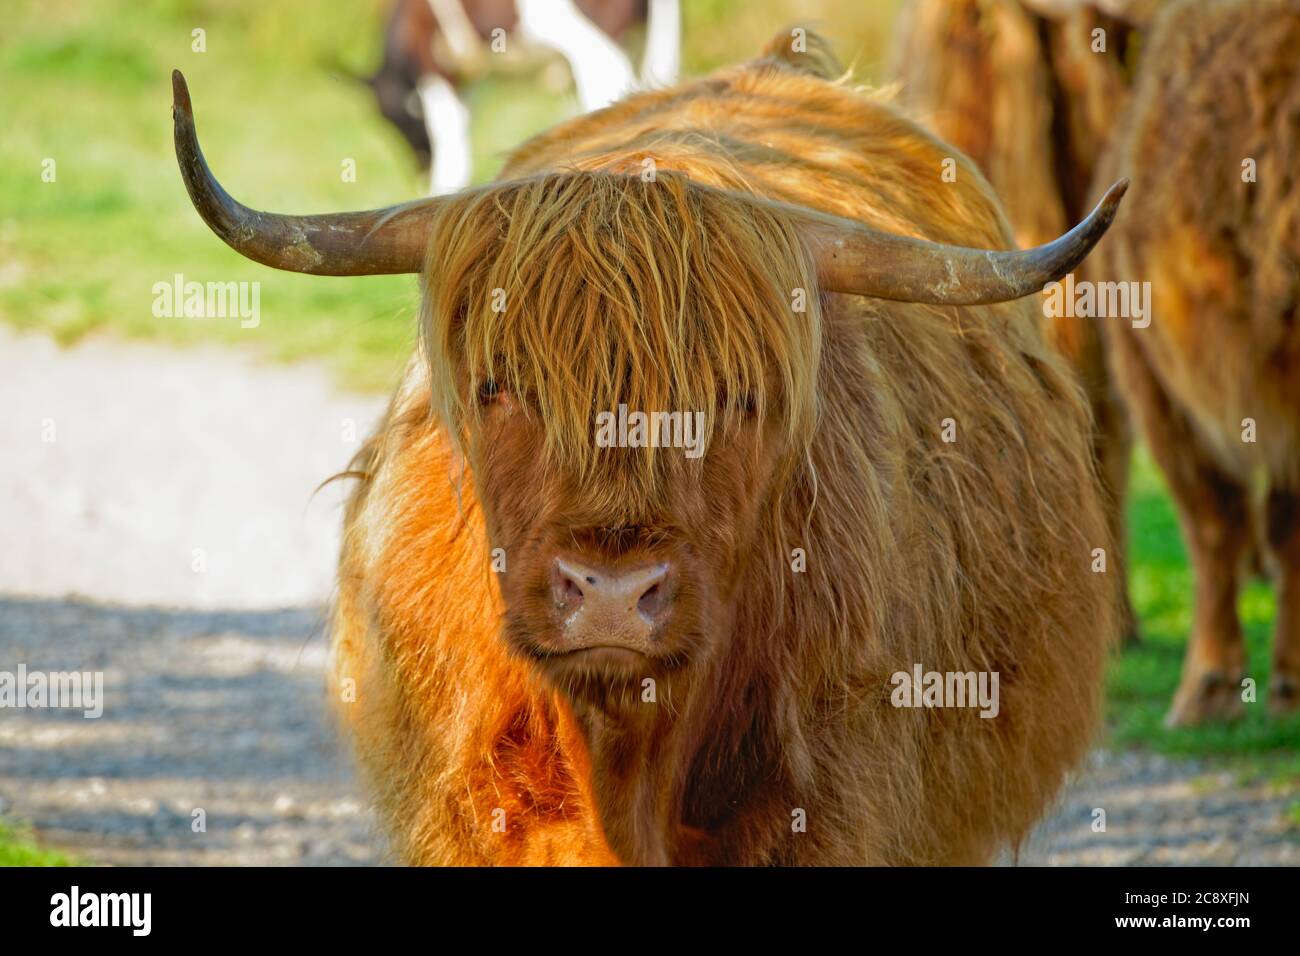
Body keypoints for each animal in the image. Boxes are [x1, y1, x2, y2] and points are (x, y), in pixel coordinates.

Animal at [356, 0, 680, 195]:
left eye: (392, 119)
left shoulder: (428, 60)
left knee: (609, 73)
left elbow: (447, 127)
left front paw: (443, 188)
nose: (419, 172)